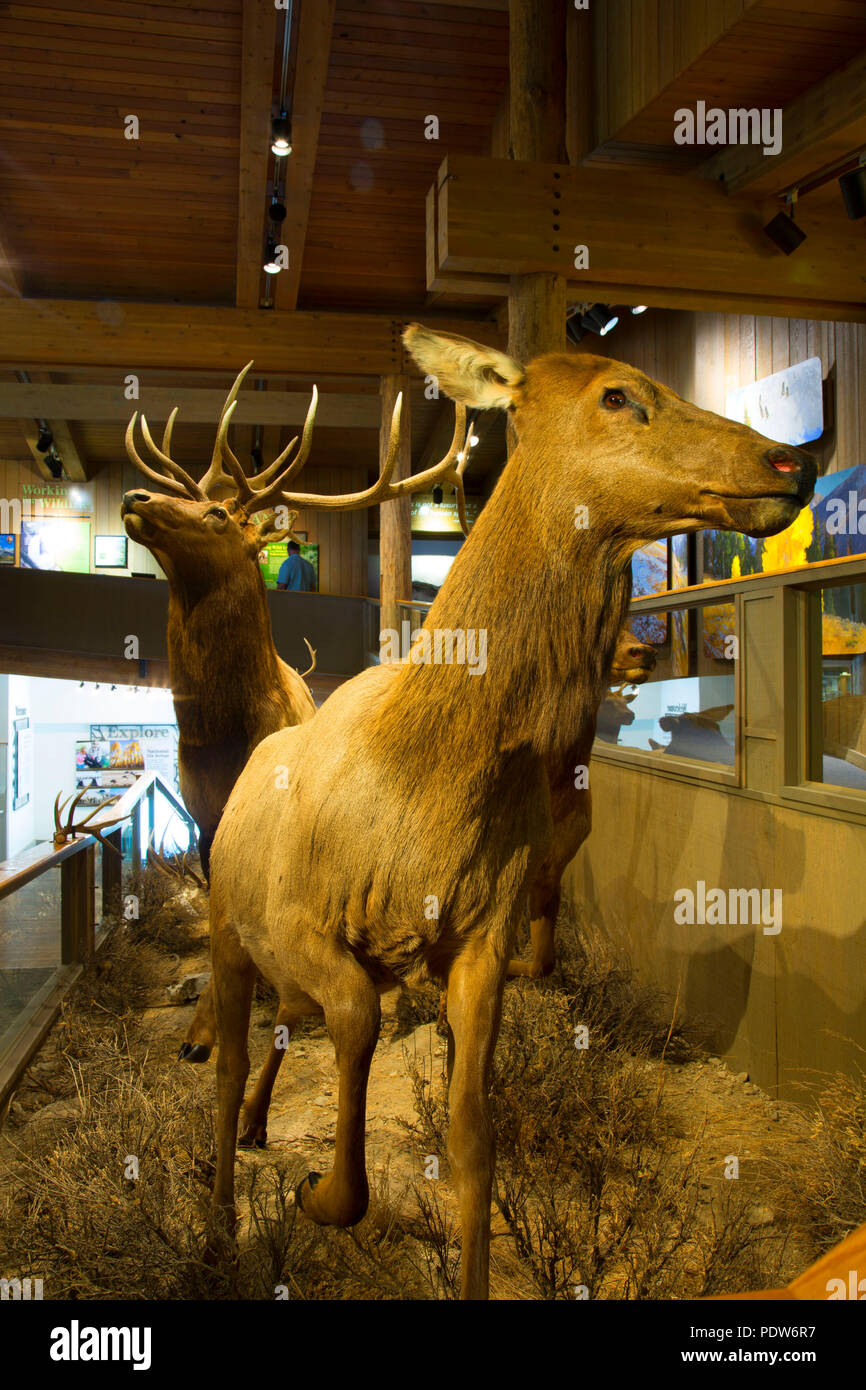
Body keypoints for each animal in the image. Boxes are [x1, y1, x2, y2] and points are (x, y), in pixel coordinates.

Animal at [202, 324, 815, 1299]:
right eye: (617, 393)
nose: (793, 459)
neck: (427, 776)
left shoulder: (479, 938)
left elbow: (474, 1141)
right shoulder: (304, 922)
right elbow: (357, 1044)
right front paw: (314, 1193)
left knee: (282, 1034)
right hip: (229, 925)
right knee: (225, 1069)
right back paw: (221, 1217)